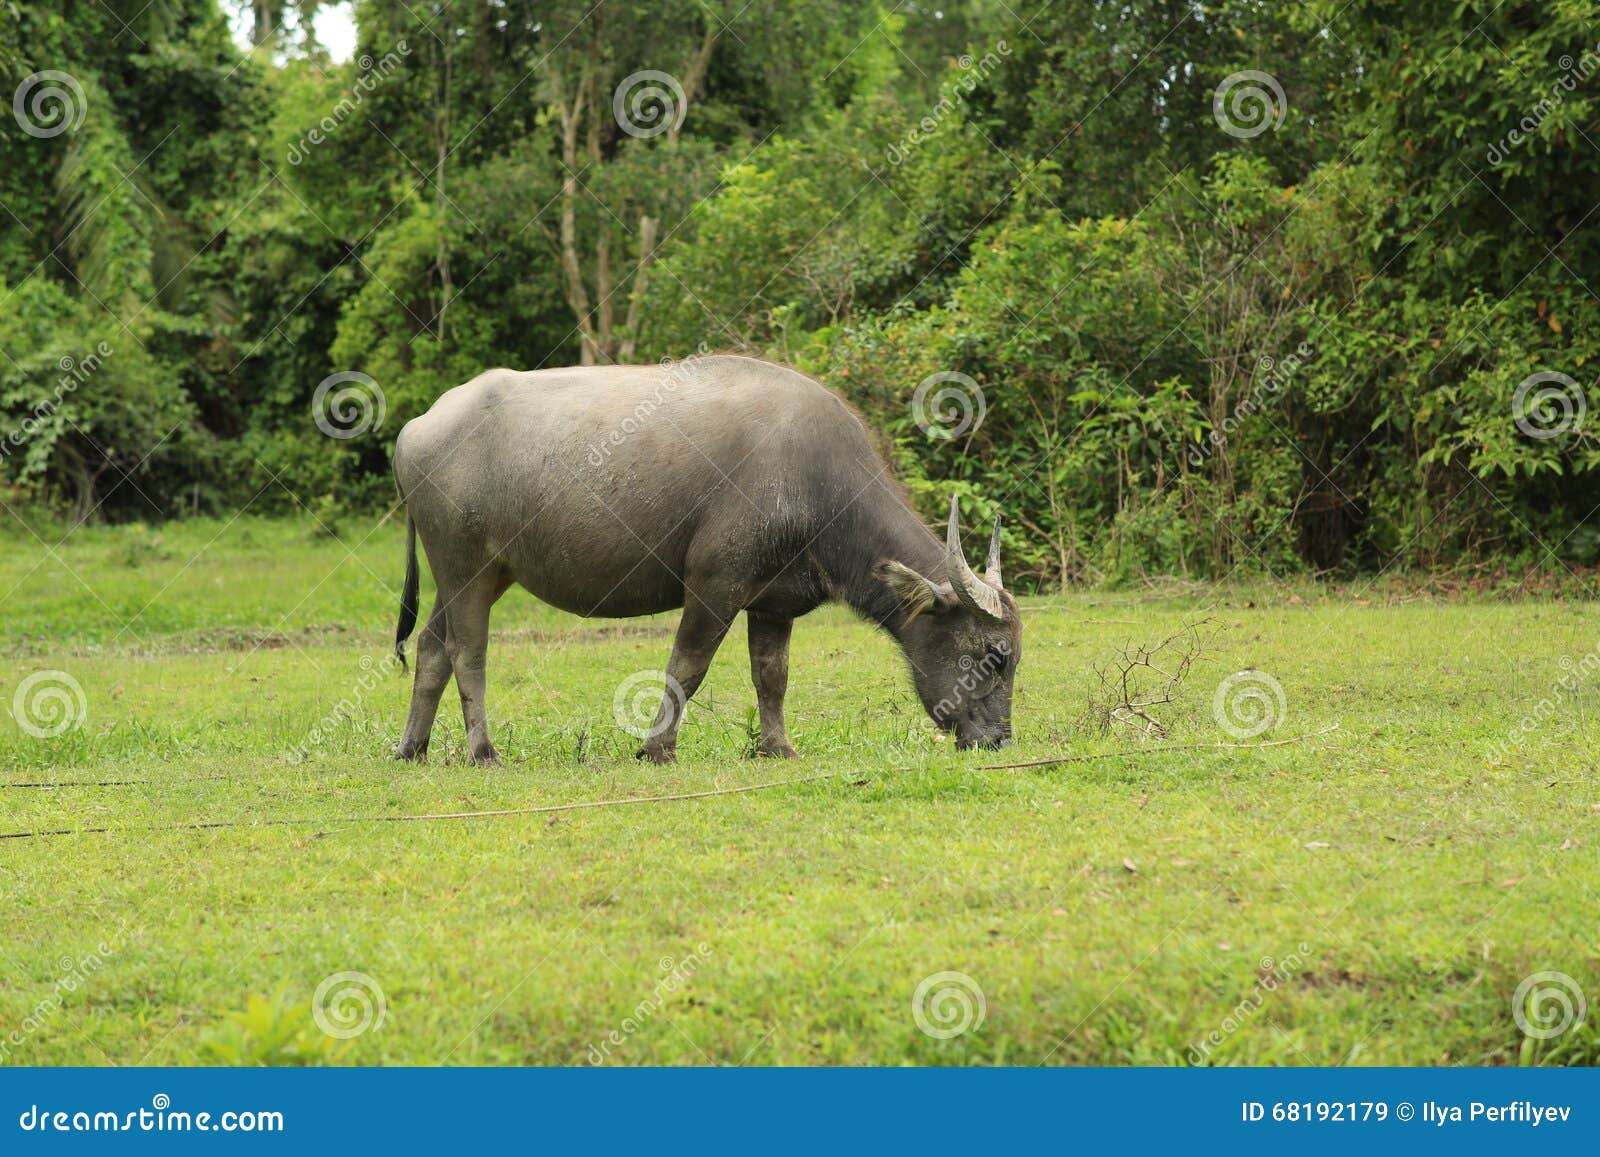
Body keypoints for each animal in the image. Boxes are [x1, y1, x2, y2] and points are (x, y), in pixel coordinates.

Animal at [390, 354, 1020, 764]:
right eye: (995, 657)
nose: (997, 740)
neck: (814, 480)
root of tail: (416, 428)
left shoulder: (773, 603)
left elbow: (772, 676)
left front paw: (777, 747)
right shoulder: (714, 585)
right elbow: (687, 667)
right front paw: (656, 748)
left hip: (477, 574)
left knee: (431, 647)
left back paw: (412, 748)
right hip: (464, 566)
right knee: (468, 651)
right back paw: (483, 751)